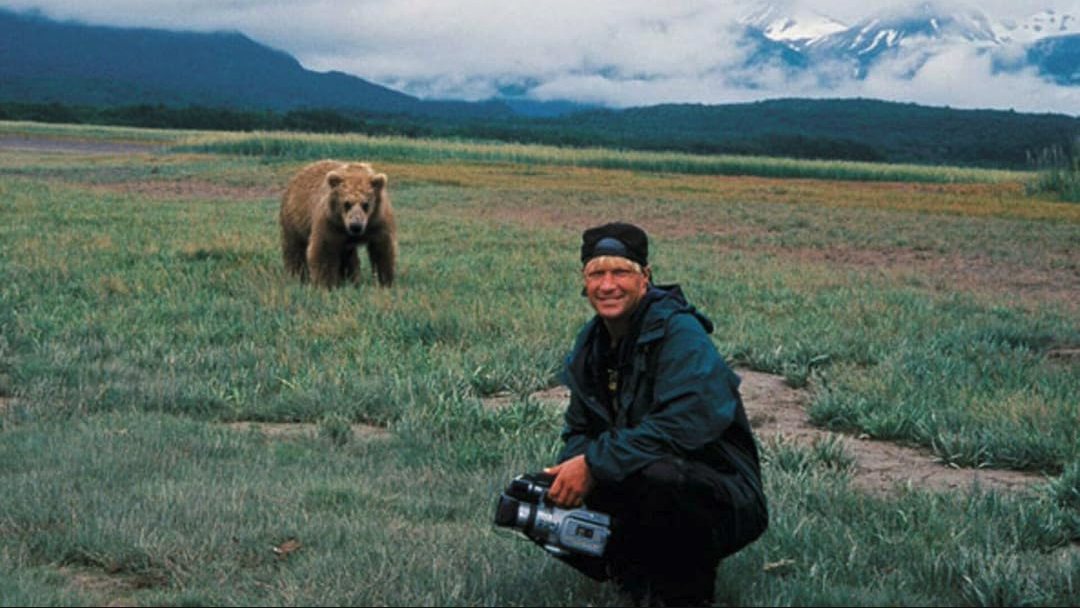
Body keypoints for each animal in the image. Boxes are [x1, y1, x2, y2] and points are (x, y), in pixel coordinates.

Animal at [279, 160, 396, 288]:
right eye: (347, 203)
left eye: (366, 204)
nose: (355, 226)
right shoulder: (330, 222)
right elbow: (324, 250)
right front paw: (326, 284)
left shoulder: (378, 222)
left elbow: (382, 250)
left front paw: (385, 282)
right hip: (295, 220)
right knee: (294, 248)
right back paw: (297, 275)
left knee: (348, 257)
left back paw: (350, 278)